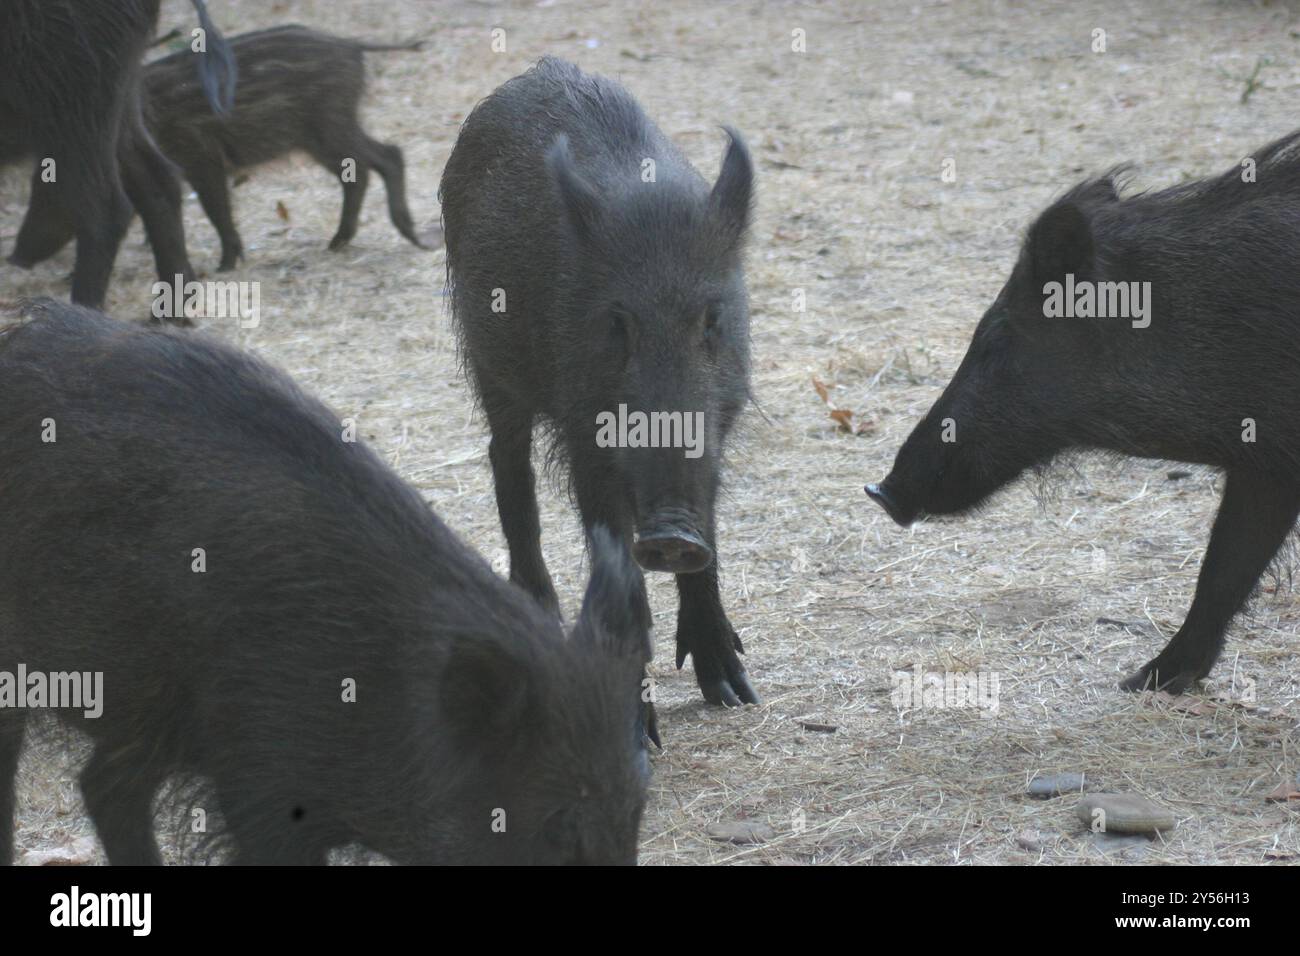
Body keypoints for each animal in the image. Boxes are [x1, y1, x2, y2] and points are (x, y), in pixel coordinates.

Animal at [0, 0, 235, 310]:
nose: (17, 259)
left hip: (77, 110)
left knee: (106, 210)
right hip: (120, 103)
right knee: (159, 180)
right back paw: (168, 312)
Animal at [439, 57, 759, 718]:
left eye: (711, 319)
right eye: (617, 322)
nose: (669, 534)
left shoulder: (719, 425)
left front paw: (734, 695)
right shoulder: (585, 432)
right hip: (490, 364)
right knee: (507, 464)